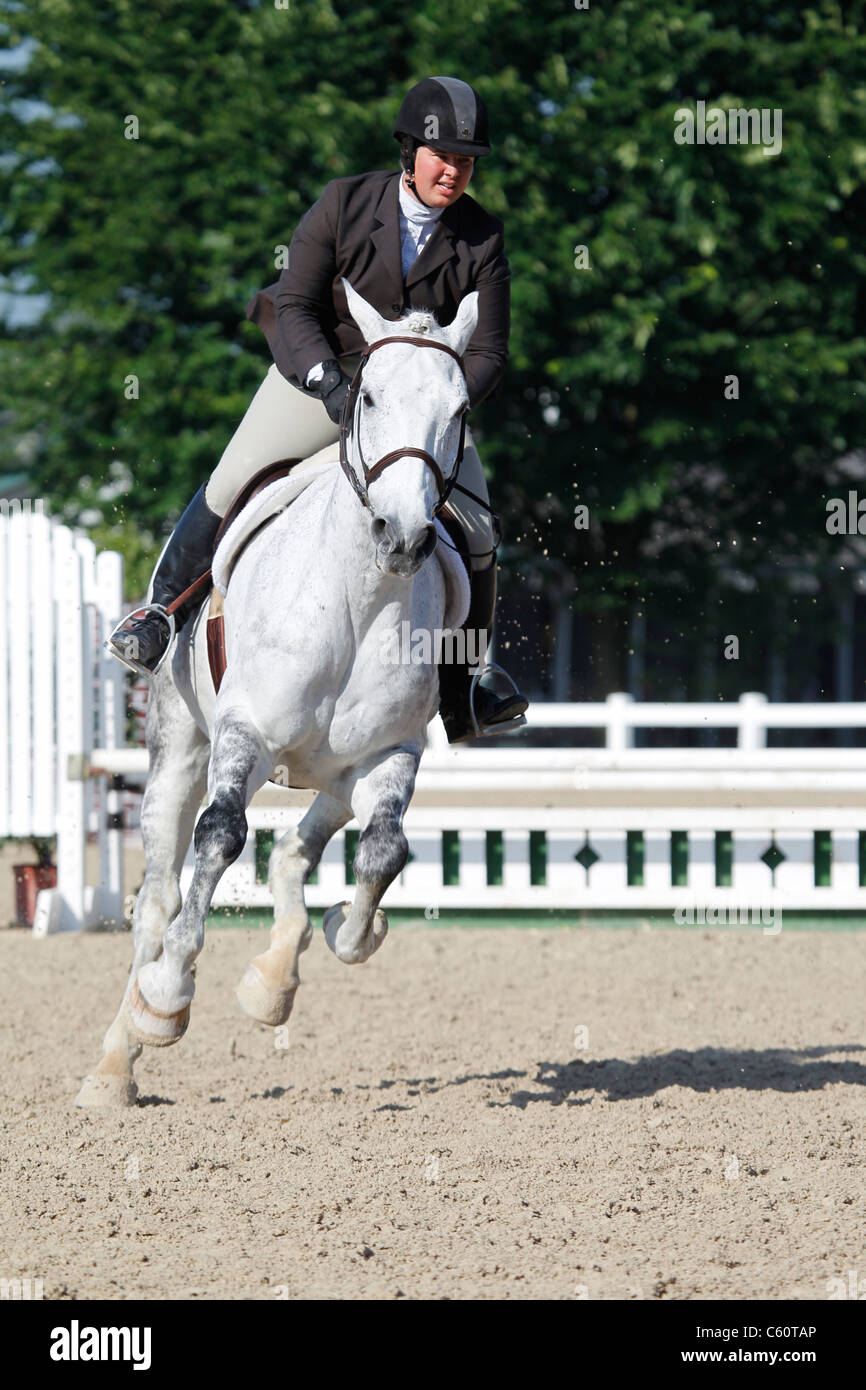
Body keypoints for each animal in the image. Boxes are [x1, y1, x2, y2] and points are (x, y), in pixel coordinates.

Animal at [76, 279, 478, 1107]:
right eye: (369, 397)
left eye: (460, 410)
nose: (403, 539)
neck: (357, 596)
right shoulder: (244, 737)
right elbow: (221, 837)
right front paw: (167, 999)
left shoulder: (392, 754)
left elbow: (383, 852)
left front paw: (348, 934)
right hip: (178, 747)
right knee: (159, 895)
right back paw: (116, 1062)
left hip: (335, 773)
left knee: (298, 848)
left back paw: (273, 982)